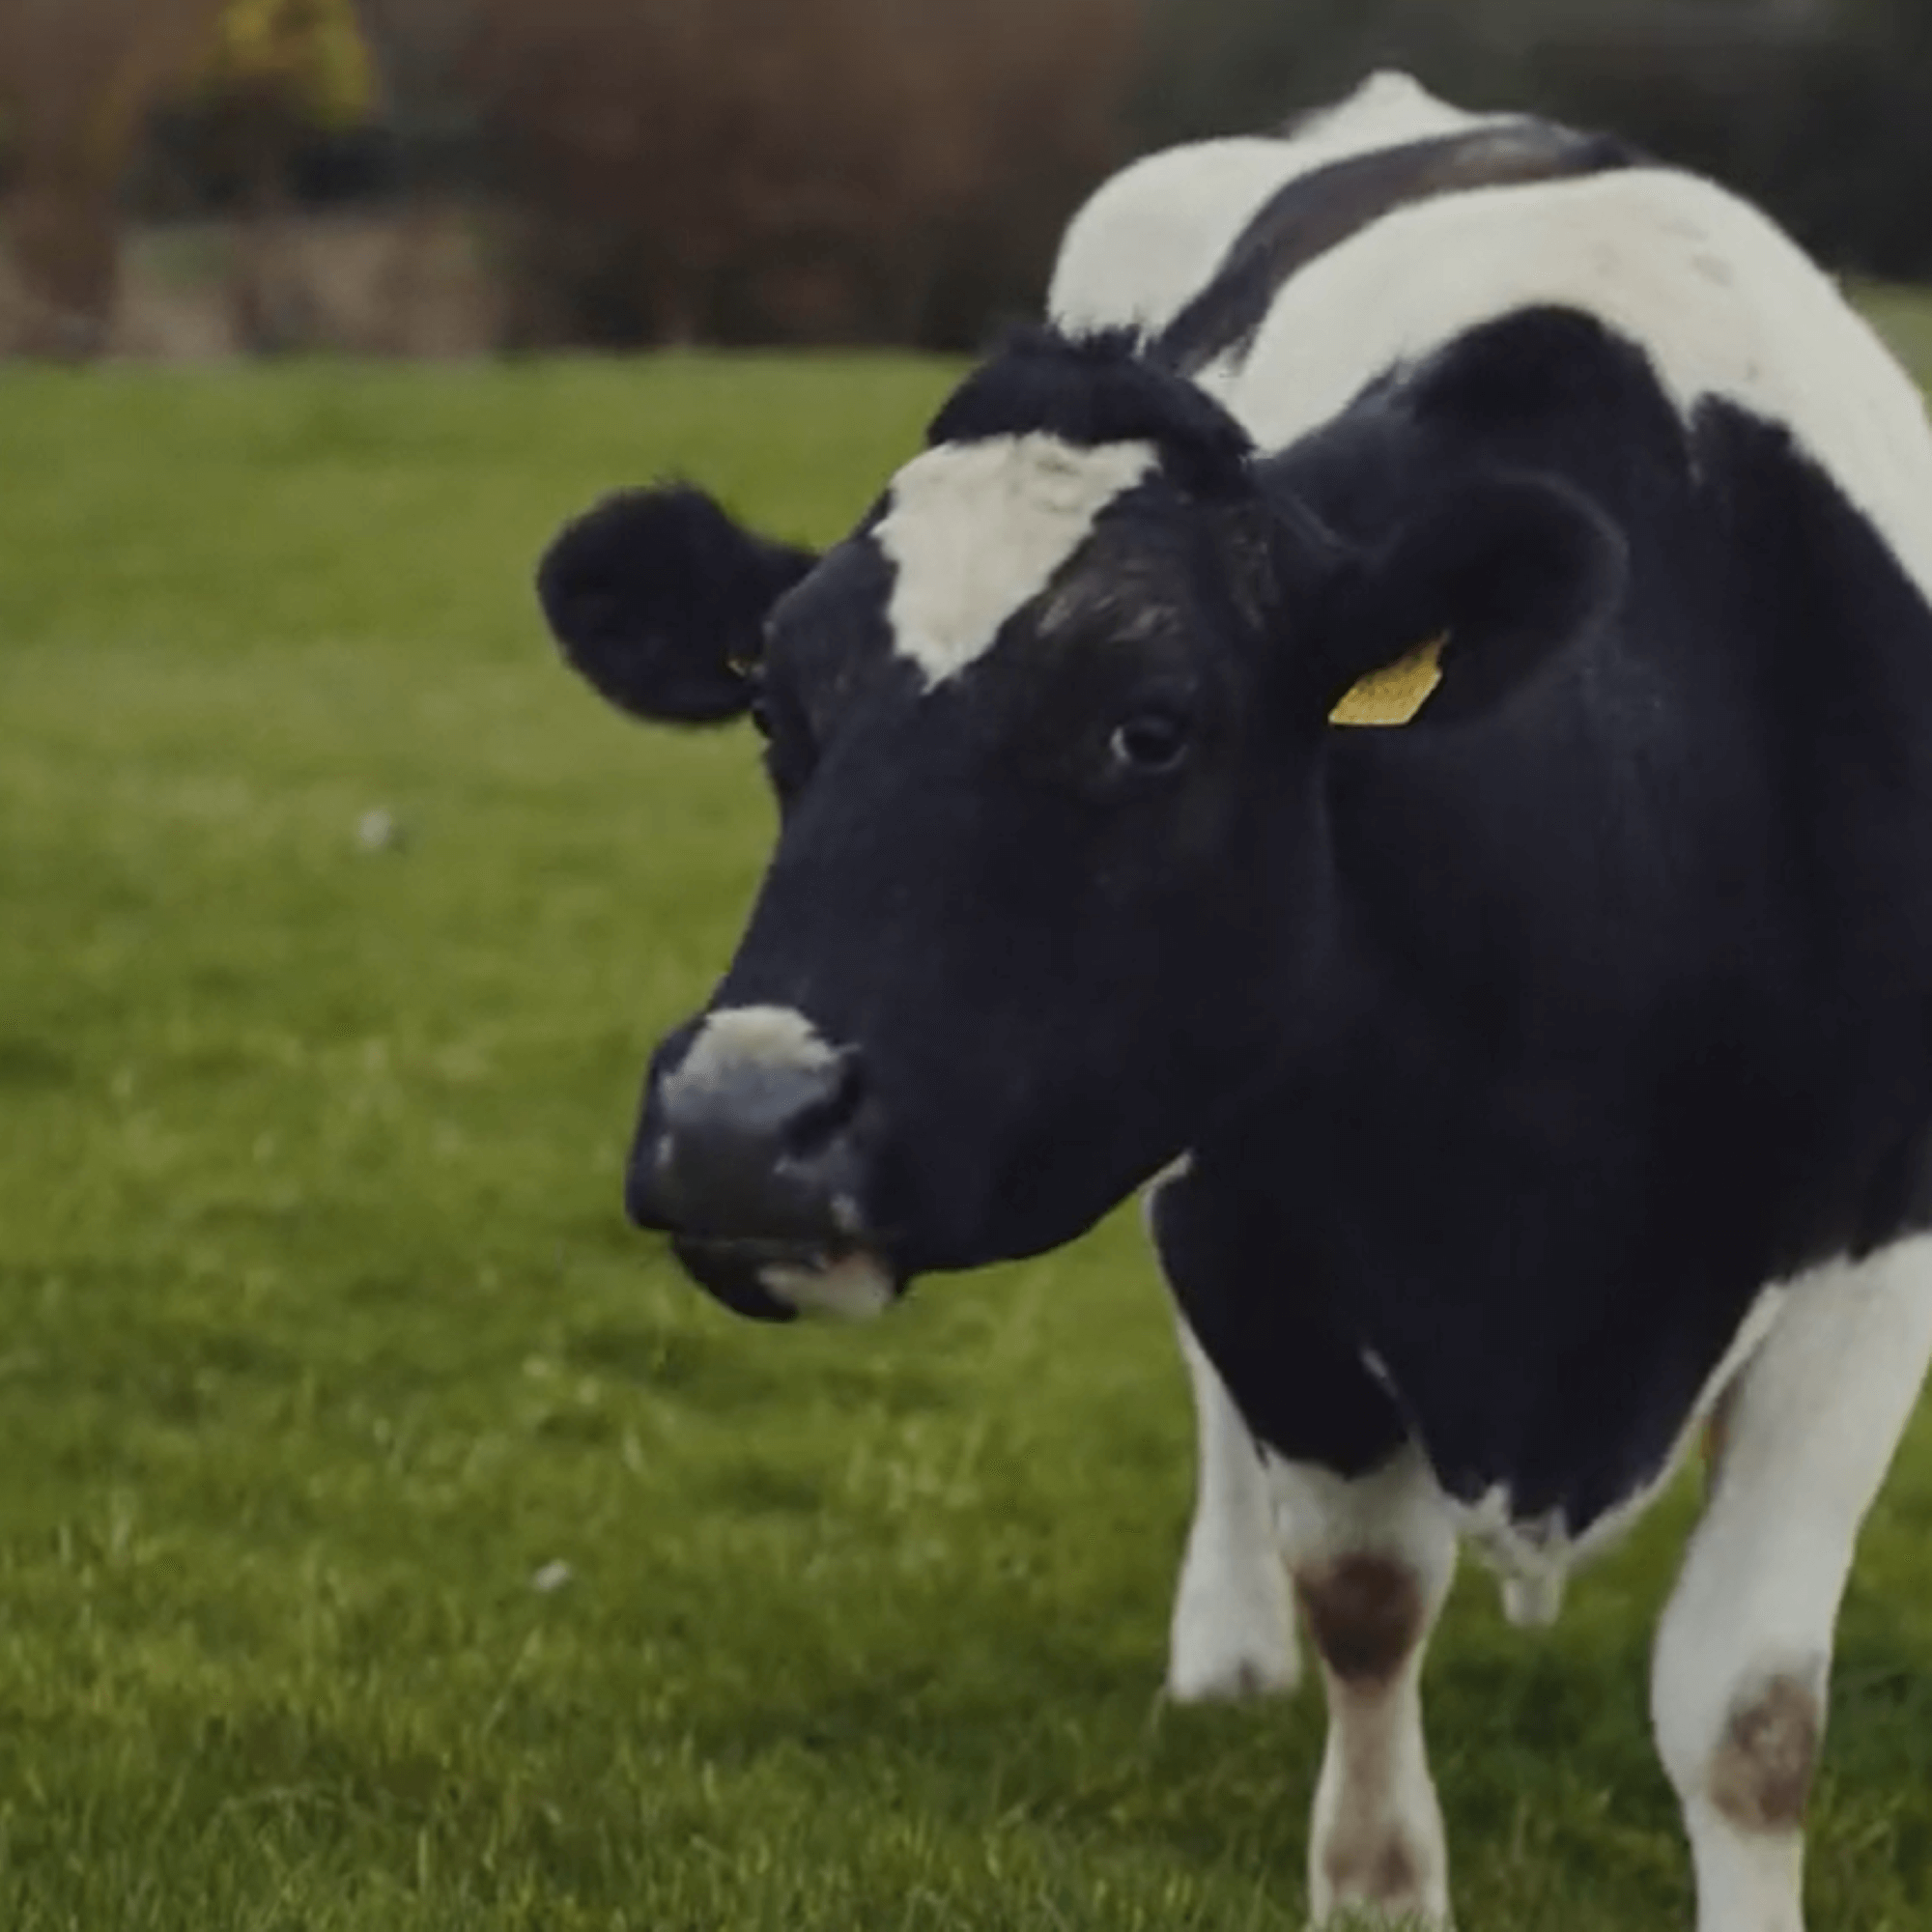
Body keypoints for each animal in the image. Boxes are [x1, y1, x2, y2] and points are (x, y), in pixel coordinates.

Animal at [535, 73, 1932, 1932]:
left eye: (1154, 725)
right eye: (779, 719)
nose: (734, 1127)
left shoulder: (1876, 1260)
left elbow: (1750, 1715)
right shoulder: (1255, 1229)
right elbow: (1365, 1602)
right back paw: (1226, 1653)